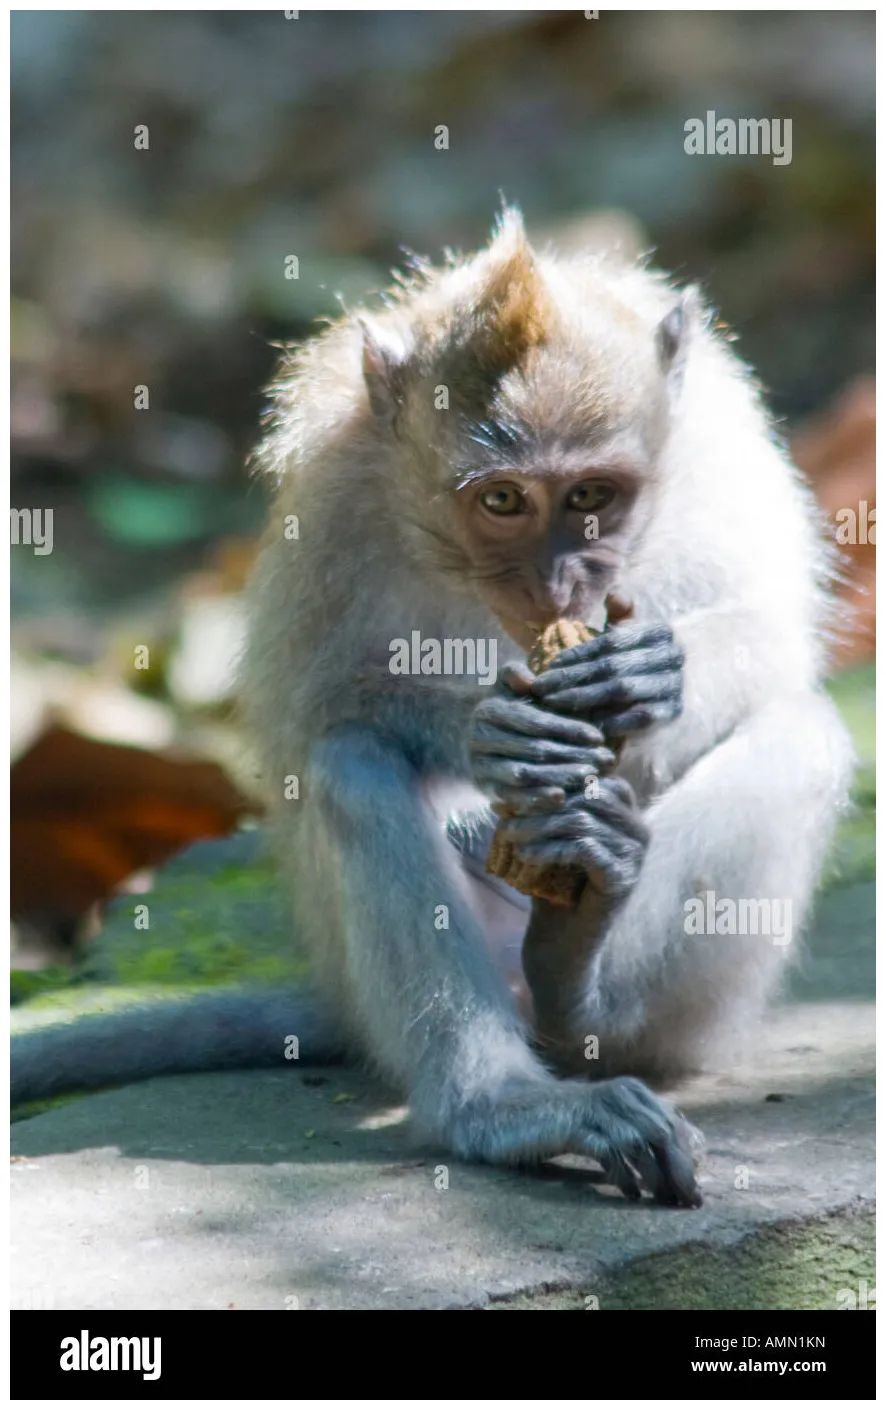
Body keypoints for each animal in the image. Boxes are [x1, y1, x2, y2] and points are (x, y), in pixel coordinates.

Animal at [12, 210, 853, 1209]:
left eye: (592, 496)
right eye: (503, 499)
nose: (554, 583)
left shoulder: (722, 445)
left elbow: (779, 632)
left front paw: (647, 674)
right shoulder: (329, 504)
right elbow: (310, 712)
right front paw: (484, 733)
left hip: (689, 1018)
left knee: (802, 733)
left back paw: (579, 981)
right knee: (354, 765)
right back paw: (506, 1098)